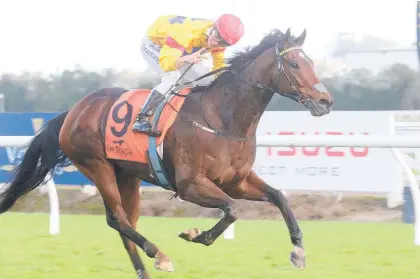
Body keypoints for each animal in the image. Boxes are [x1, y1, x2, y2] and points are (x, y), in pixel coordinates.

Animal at [0, 29, 334, 279]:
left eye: (310, 62)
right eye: (294, 65)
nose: (325, 101)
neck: (222, 118)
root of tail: (73, 111)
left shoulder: (236, 181)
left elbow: (279, 197)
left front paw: (298, 250)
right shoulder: (190, 185)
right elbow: (231, 210)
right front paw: (195, 234)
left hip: (128, 176)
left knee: (124, 224)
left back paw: (145, 270)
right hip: (96, 165)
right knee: (118, 219)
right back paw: (159, 255)